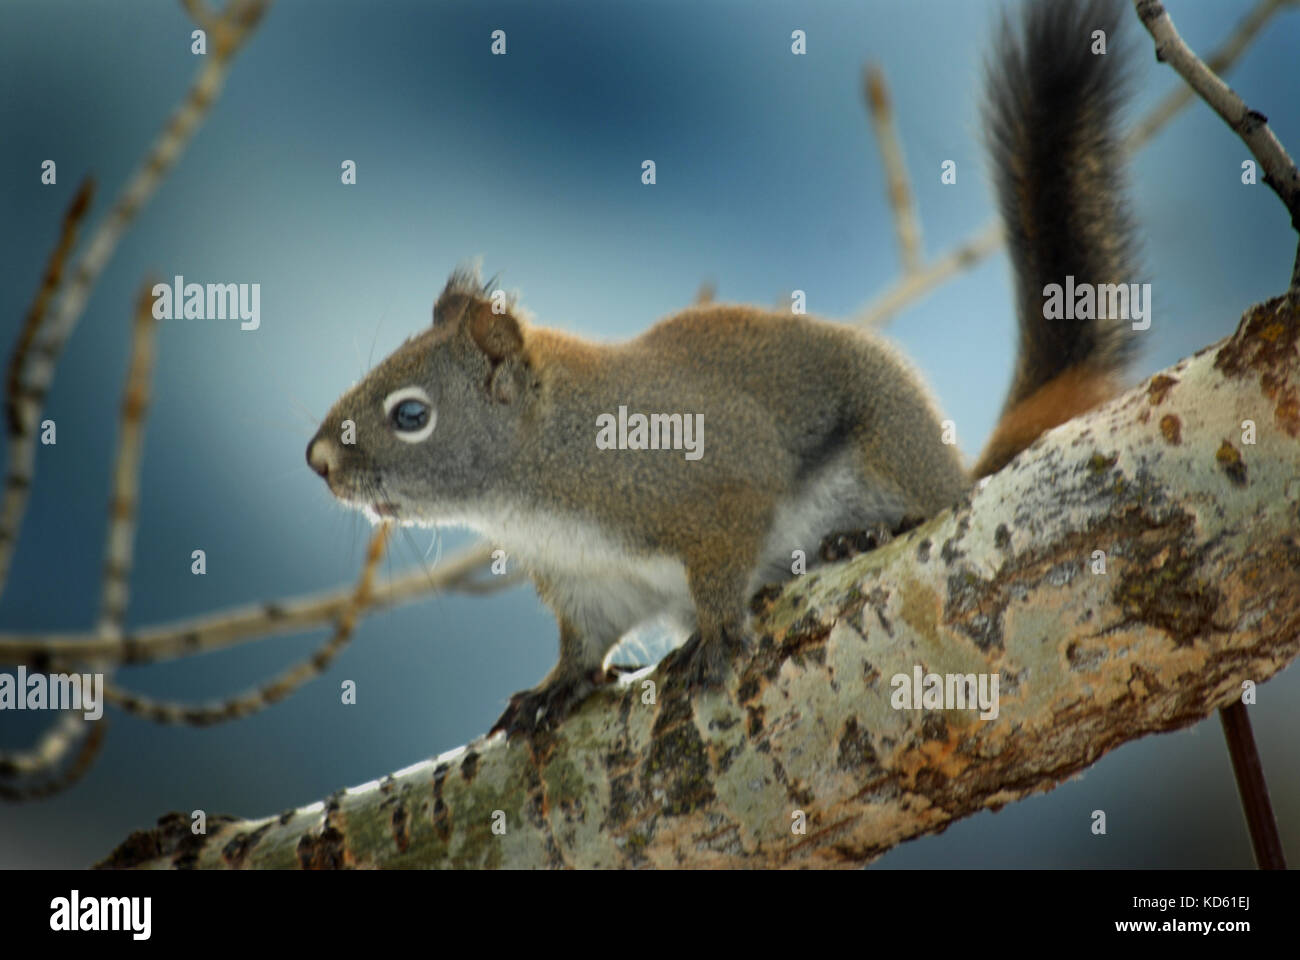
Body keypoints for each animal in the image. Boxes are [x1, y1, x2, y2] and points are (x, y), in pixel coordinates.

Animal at [306, 0, 1139, 739]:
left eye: (411, 414)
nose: (316, 461)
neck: (541, 481)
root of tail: (956, 465)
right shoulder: (589, 582)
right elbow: (584, 643)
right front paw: (555, 688)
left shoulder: (716, 483)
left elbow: (724, 559)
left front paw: (710, 634)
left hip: (890, 446)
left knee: (927, 505)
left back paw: (868, 534)